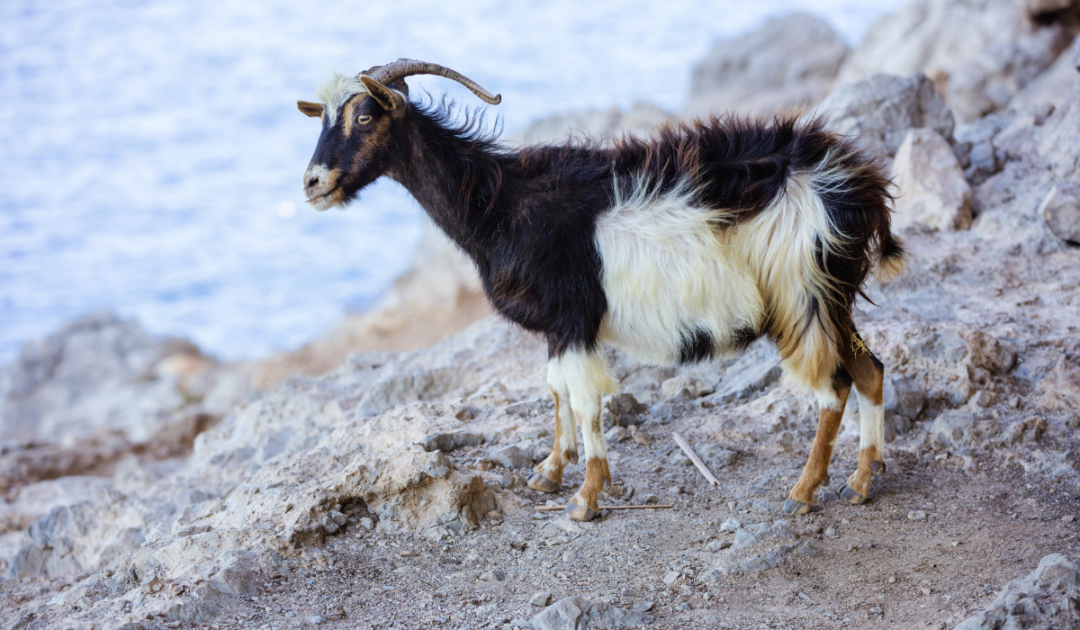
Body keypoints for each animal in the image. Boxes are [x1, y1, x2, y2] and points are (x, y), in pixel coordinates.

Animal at [297, 59, 906, 522]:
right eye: (322, 117)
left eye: (366, 114)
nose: (313, 183)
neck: (500, 206)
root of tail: (858, 189)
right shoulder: (555, 326)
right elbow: (556, 390)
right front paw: (550, 471)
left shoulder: (574, 319)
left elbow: (587, 399)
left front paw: (586, 498)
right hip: (833, 297)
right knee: (870, 370)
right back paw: (862, 480)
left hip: (801, 297)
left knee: (832, 387)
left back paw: (804, 492)